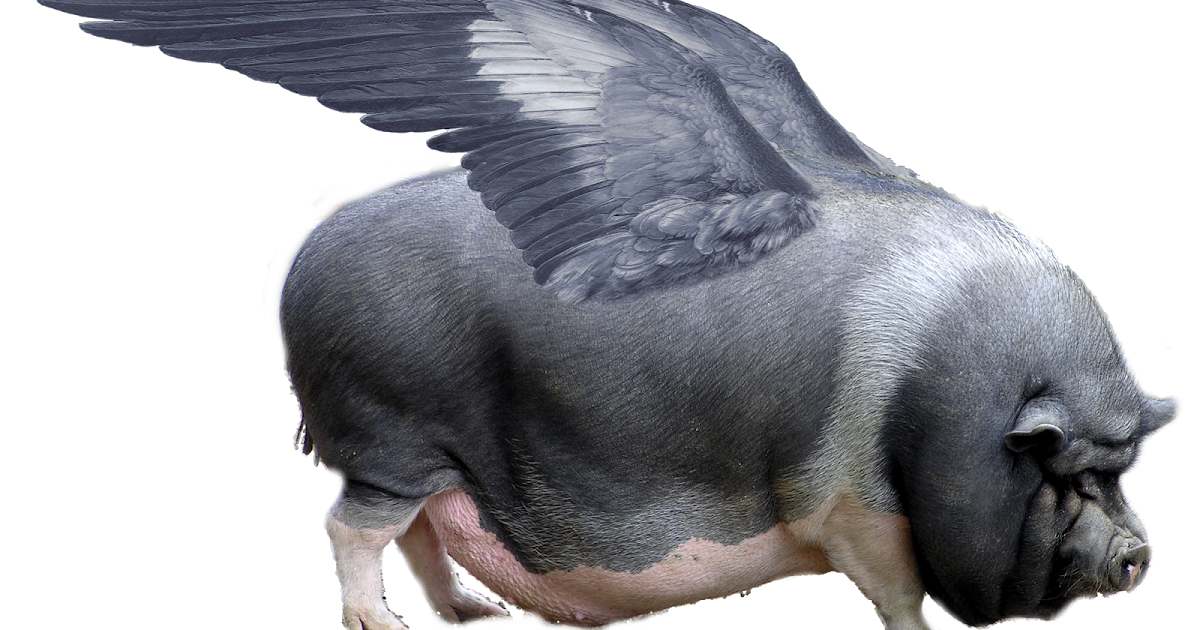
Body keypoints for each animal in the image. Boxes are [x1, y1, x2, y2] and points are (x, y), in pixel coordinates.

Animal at [37, 1, 1184, 629]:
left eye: (1123, 470)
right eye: (1061, 470)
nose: (1138, 556)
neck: (928, 395)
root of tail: (321, 222)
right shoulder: (849, 504)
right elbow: (895, 590)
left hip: (433, 452)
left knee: (421, 529)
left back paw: (474, 618)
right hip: (383, 428)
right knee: (350, 527)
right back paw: (384, 629)